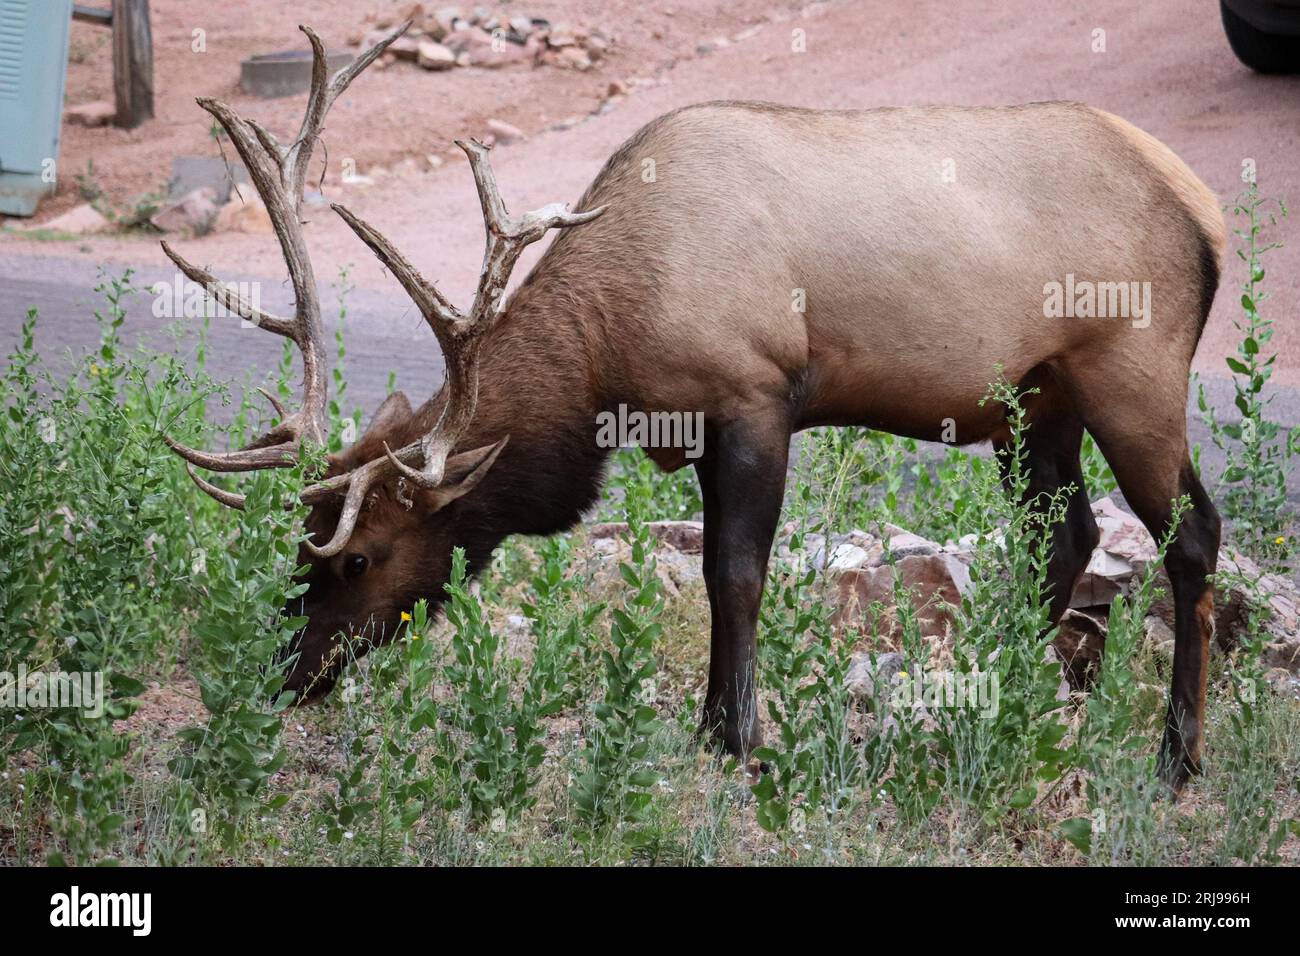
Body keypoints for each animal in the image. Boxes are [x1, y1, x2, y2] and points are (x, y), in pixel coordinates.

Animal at [164, 23, 1226, 794]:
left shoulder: (754, 395)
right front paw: (713, 727)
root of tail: (1207, 214)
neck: (609, 344)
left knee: (1190, 534)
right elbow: (724, 572)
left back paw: (1175, 759)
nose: (288, 668)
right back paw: (987, 708)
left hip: (1130, 372)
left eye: (355, 556)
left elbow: (736, 574)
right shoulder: (703, 426)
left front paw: (736, 738)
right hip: (1035, 401)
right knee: (1069, 534)